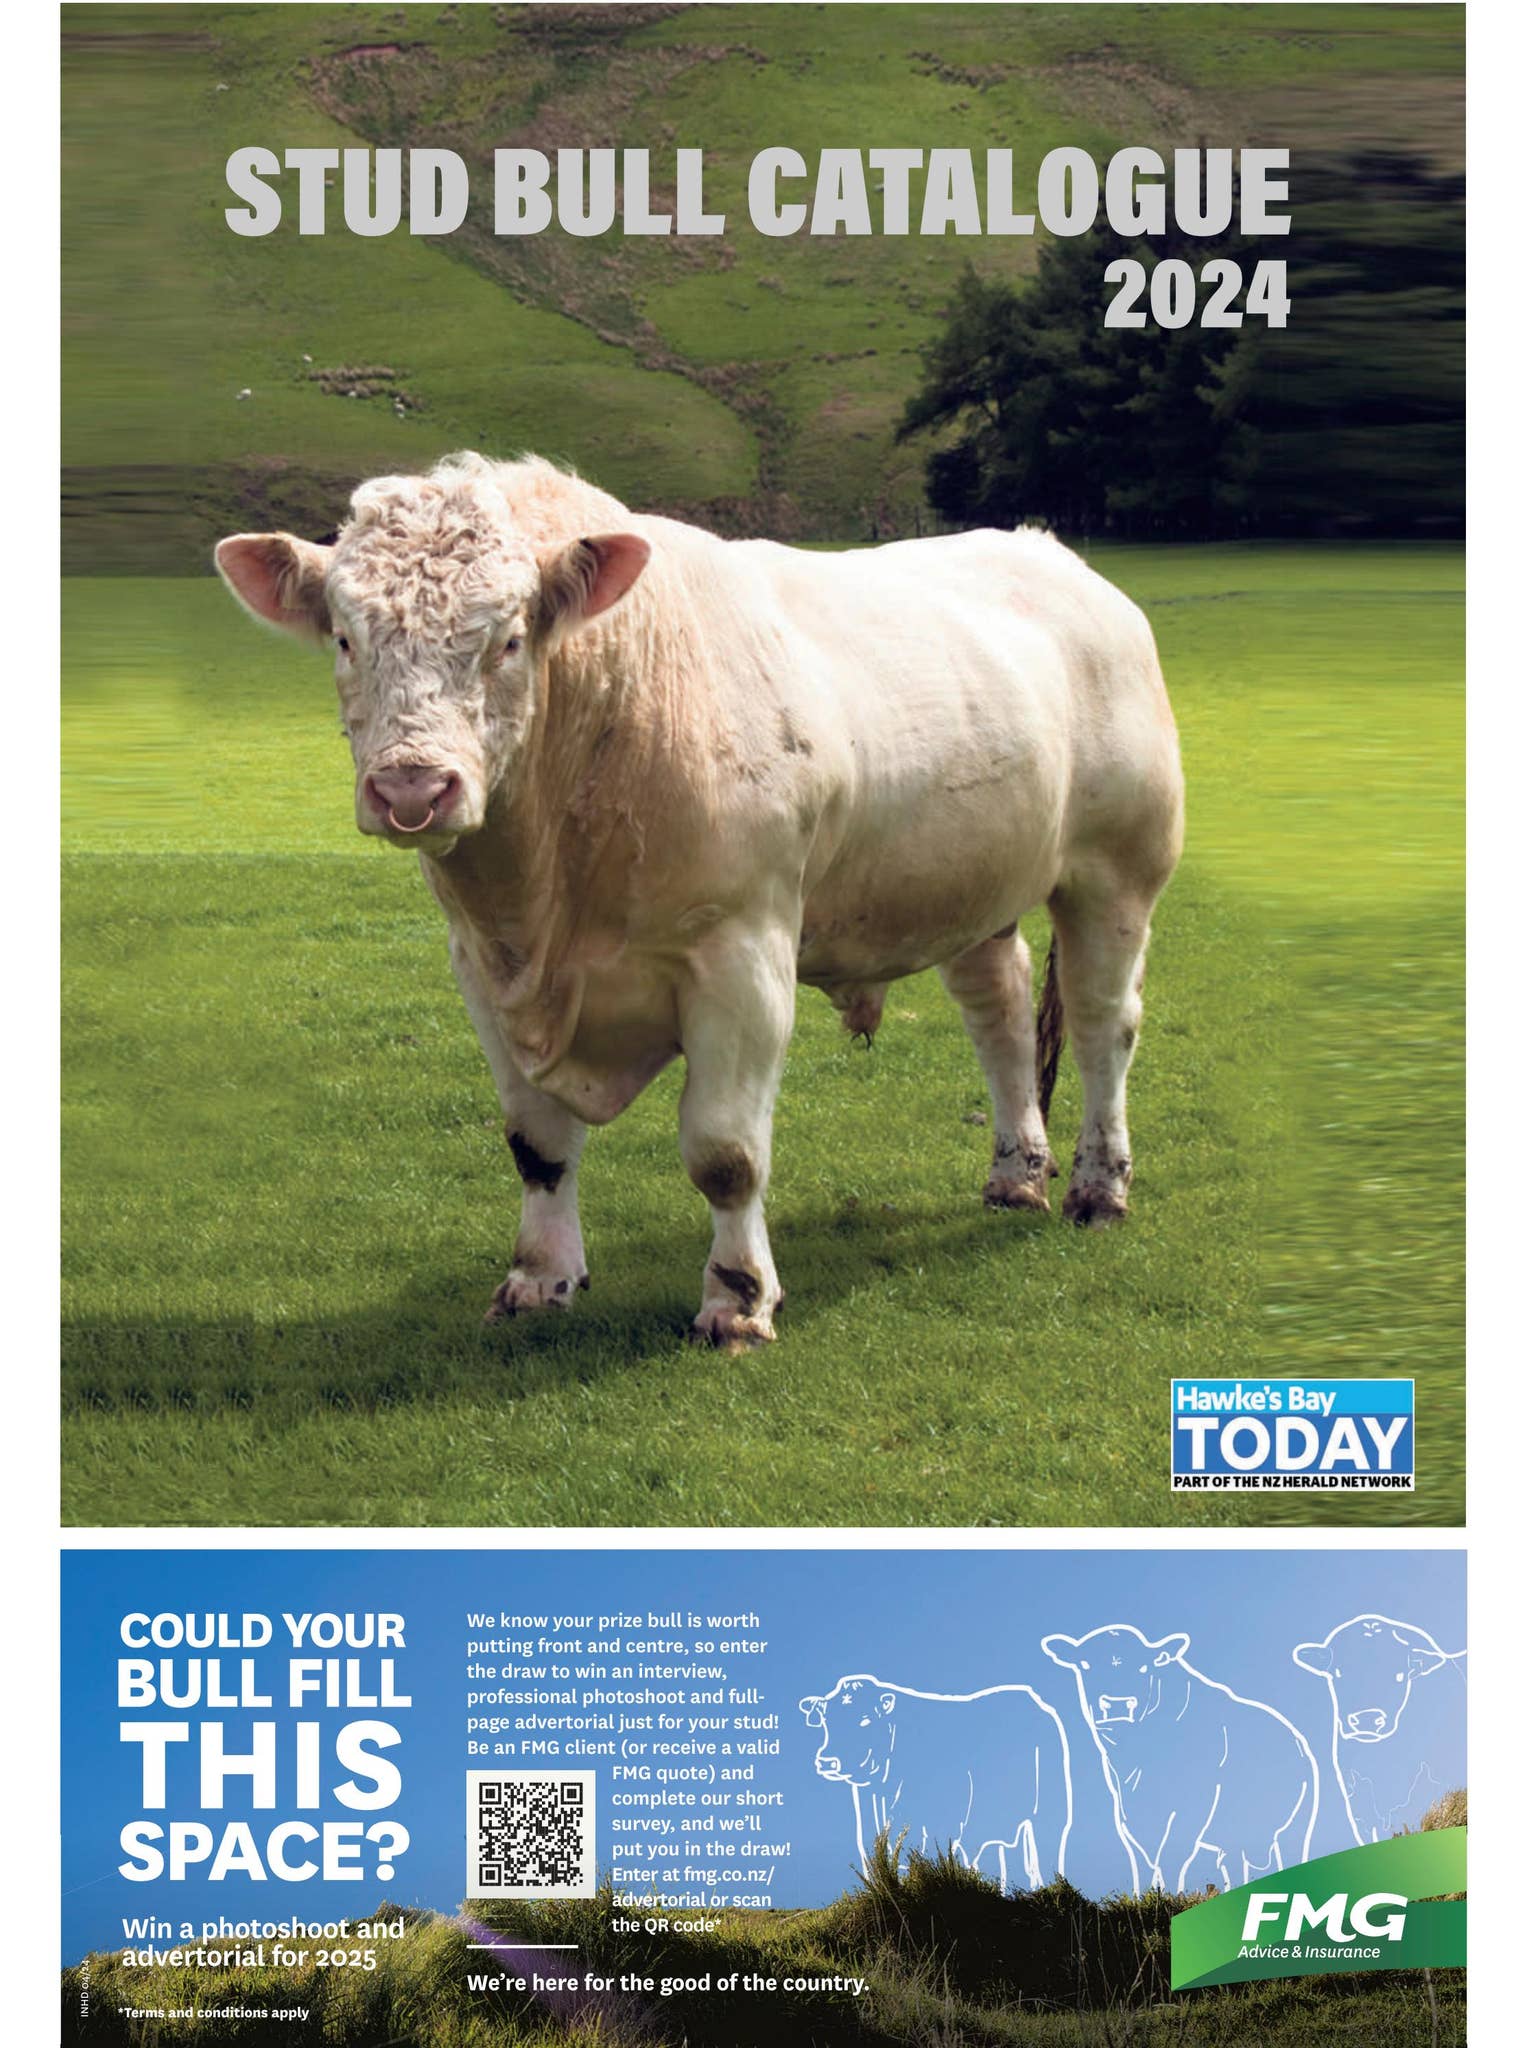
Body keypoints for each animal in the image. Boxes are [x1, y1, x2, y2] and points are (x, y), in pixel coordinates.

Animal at [215, 453, 1184, 1346]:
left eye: (508, 639)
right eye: (345, 638)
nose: (412, 787)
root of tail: (1054, 556)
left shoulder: (740, 955)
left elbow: (724, 1153)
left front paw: (737, 1299)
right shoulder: (482, 966)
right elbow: (536, 1141)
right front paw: (537, 1278)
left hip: (1116, 871)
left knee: (1101, 1026)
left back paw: (1098, 1186)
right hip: (971, 879)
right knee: (1001, 1012)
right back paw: (1016, 1173)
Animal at [1041, 1624, 1318, 1895]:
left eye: (1144, 1666)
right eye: (1085, 1664)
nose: (1117, 1704)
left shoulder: (1192, 1805)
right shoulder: (1128, 1810)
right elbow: (1142, 1859)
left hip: (1293, 1827)